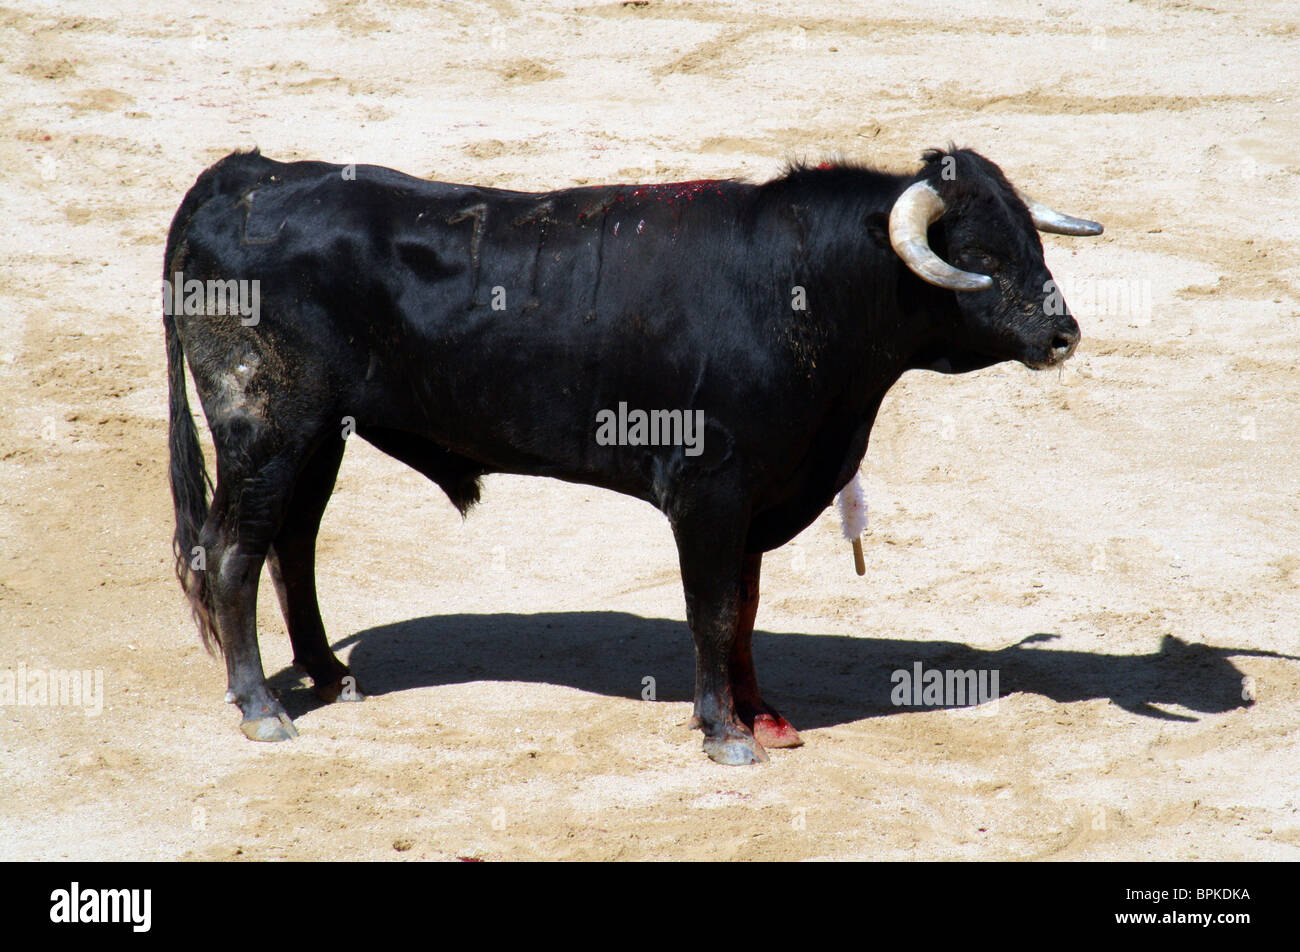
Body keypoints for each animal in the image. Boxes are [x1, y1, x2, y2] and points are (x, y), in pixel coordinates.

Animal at [164, 146, 1101, 764]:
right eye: (976, 256)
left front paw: (762, 717)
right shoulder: (710, 492)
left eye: (1033, 243)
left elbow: (744, 609)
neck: (802, 289)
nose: (1063, 333)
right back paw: (261, 707)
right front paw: (724, 733)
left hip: (321, 433)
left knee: (292, 544)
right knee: (233, 551)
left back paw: (327, 673)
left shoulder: (758, 496)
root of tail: (244, 175)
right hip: (263, 426)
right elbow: (712, 611)